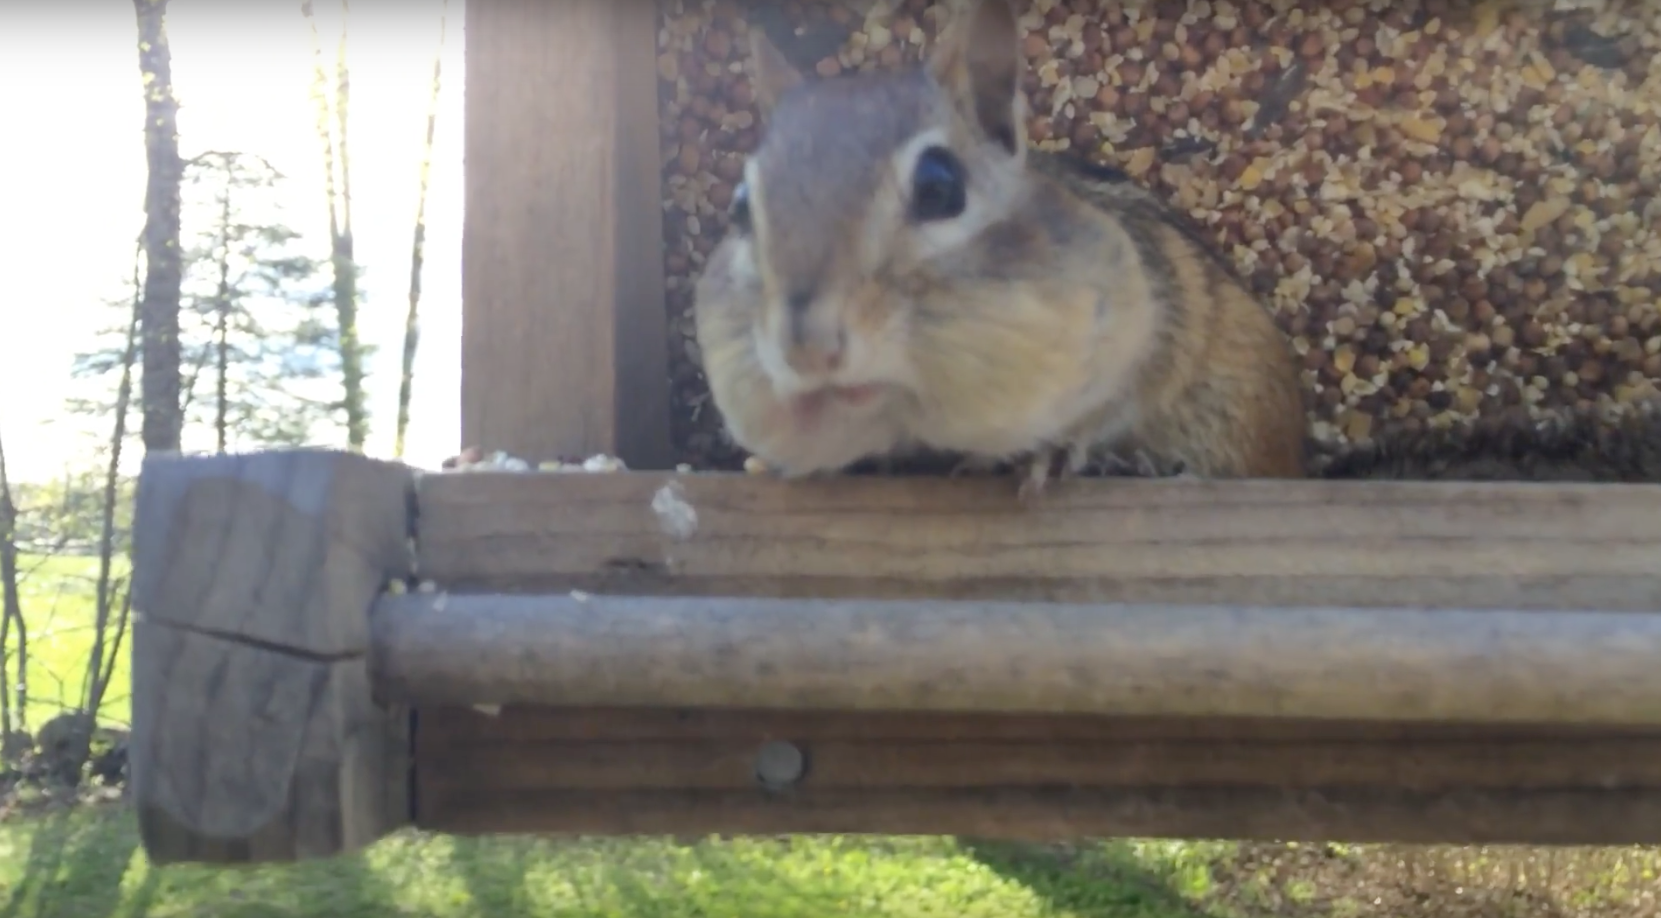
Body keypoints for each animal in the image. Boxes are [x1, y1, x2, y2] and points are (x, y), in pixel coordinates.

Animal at [691, 0, 1308, 501]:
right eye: (740, 207)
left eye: (940, 187)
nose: (809, 351)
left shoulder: (1142, 319)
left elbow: (1109, 402)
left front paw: (1048, 454)